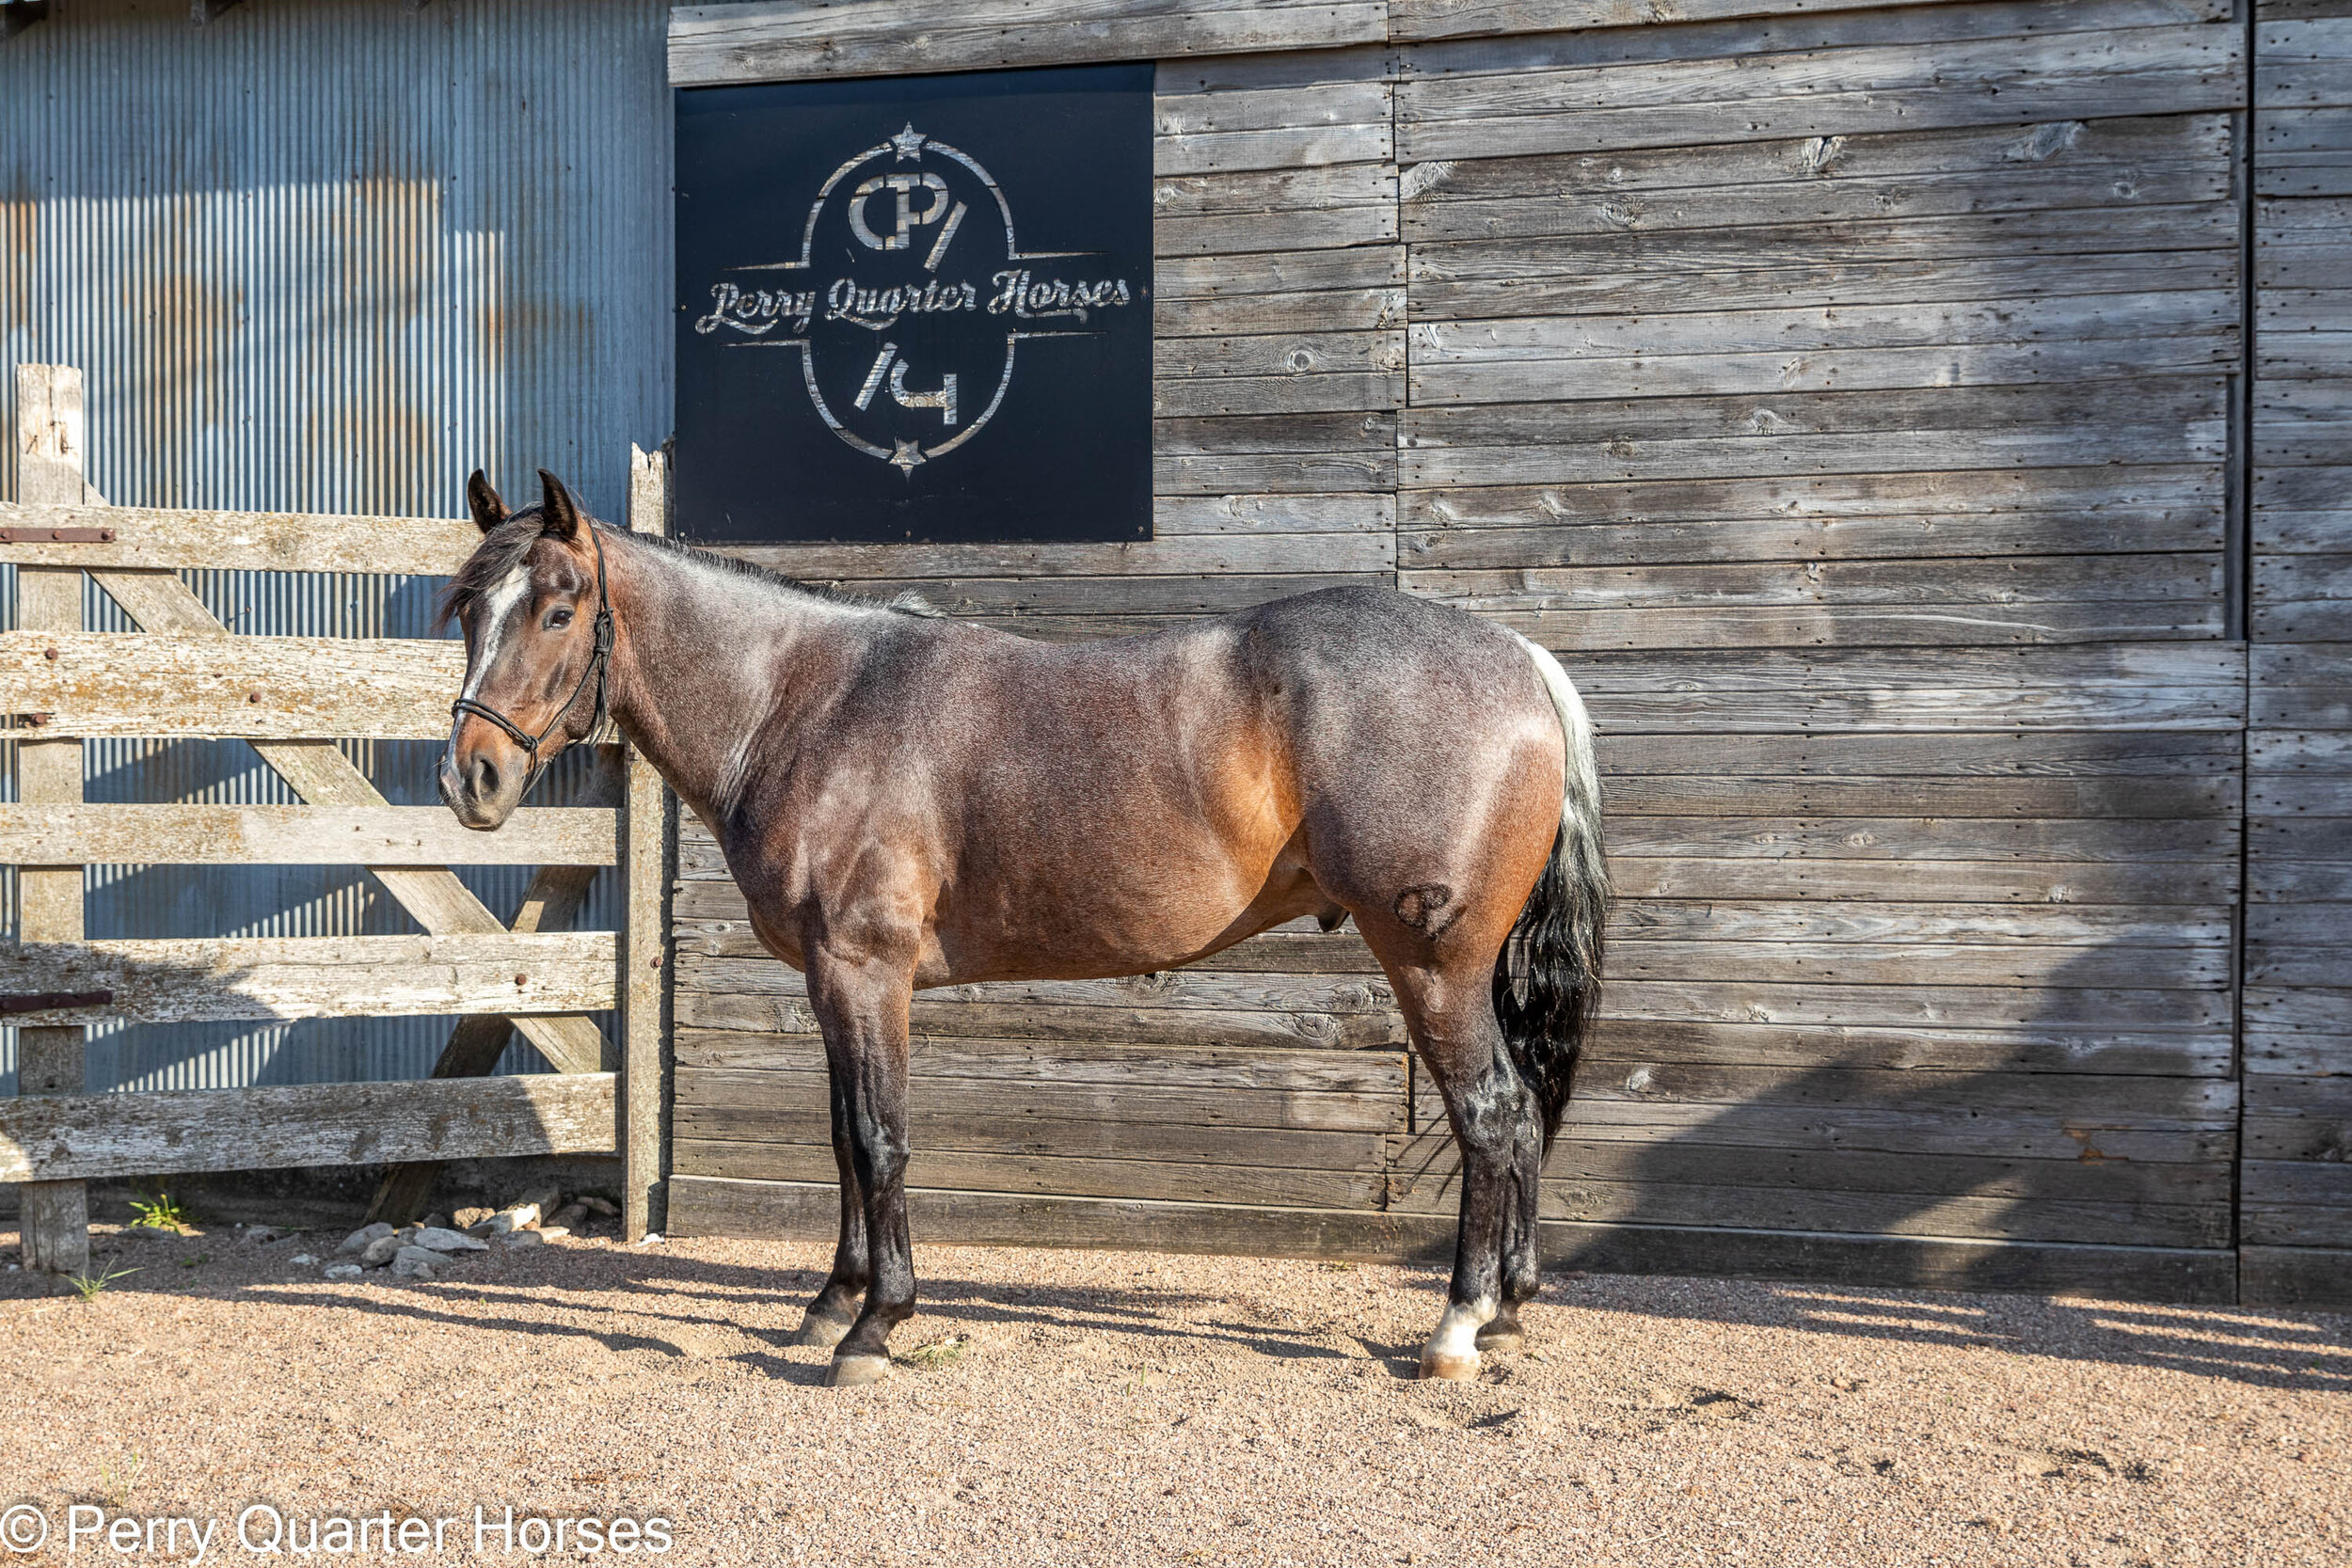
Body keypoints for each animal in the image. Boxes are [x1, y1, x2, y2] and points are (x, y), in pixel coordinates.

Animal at [437, 469, 1609, 1388]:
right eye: (466, 610)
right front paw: (831, 1300)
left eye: (558, 608)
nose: (470, 779)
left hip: (1433, 962)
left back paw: (1458, 1325)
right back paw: (1507, 1311)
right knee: (1515, 1116)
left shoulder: (865, 971)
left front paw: (875, 1324)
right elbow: (843, 1137)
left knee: (1492, 1115)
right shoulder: (829, 978)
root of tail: (1520, 659)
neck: (805, 704)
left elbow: (880, 1137)